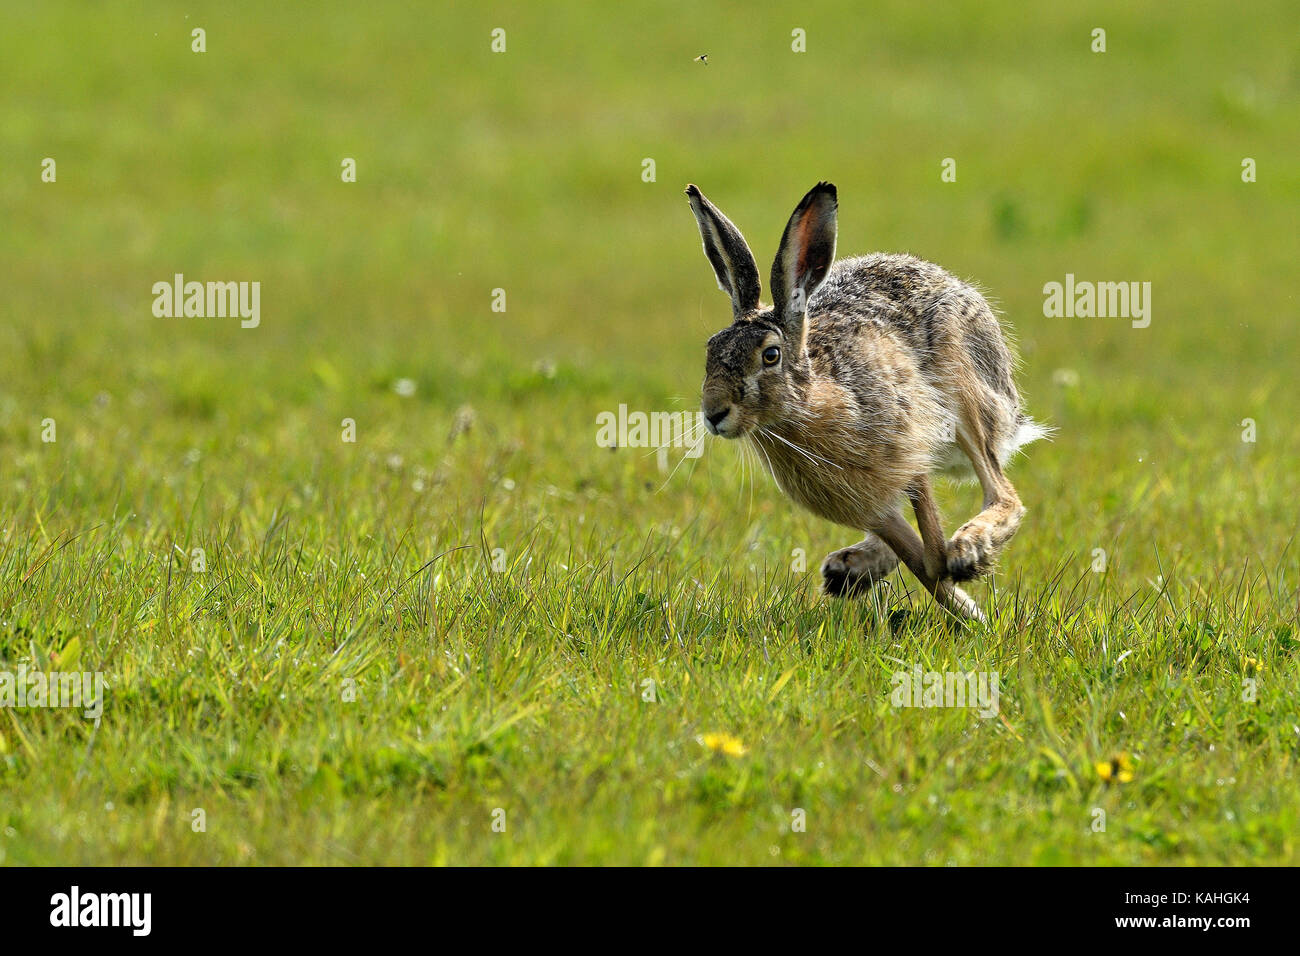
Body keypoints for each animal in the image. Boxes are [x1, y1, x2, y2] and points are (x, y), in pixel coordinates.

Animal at [685, 181, 1046, 622]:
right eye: (710, 349)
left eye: (770, 355)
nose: (714, 413)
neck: (807, 406)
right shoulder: (871, 503)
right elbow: (920, 563)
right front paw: (970, 615)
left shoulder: (907, 444)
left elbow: (930, 554)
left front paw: (973, 611)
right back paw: (851, 569)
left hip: (966, 394)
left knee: (1002, 493)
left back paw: (965, 549)